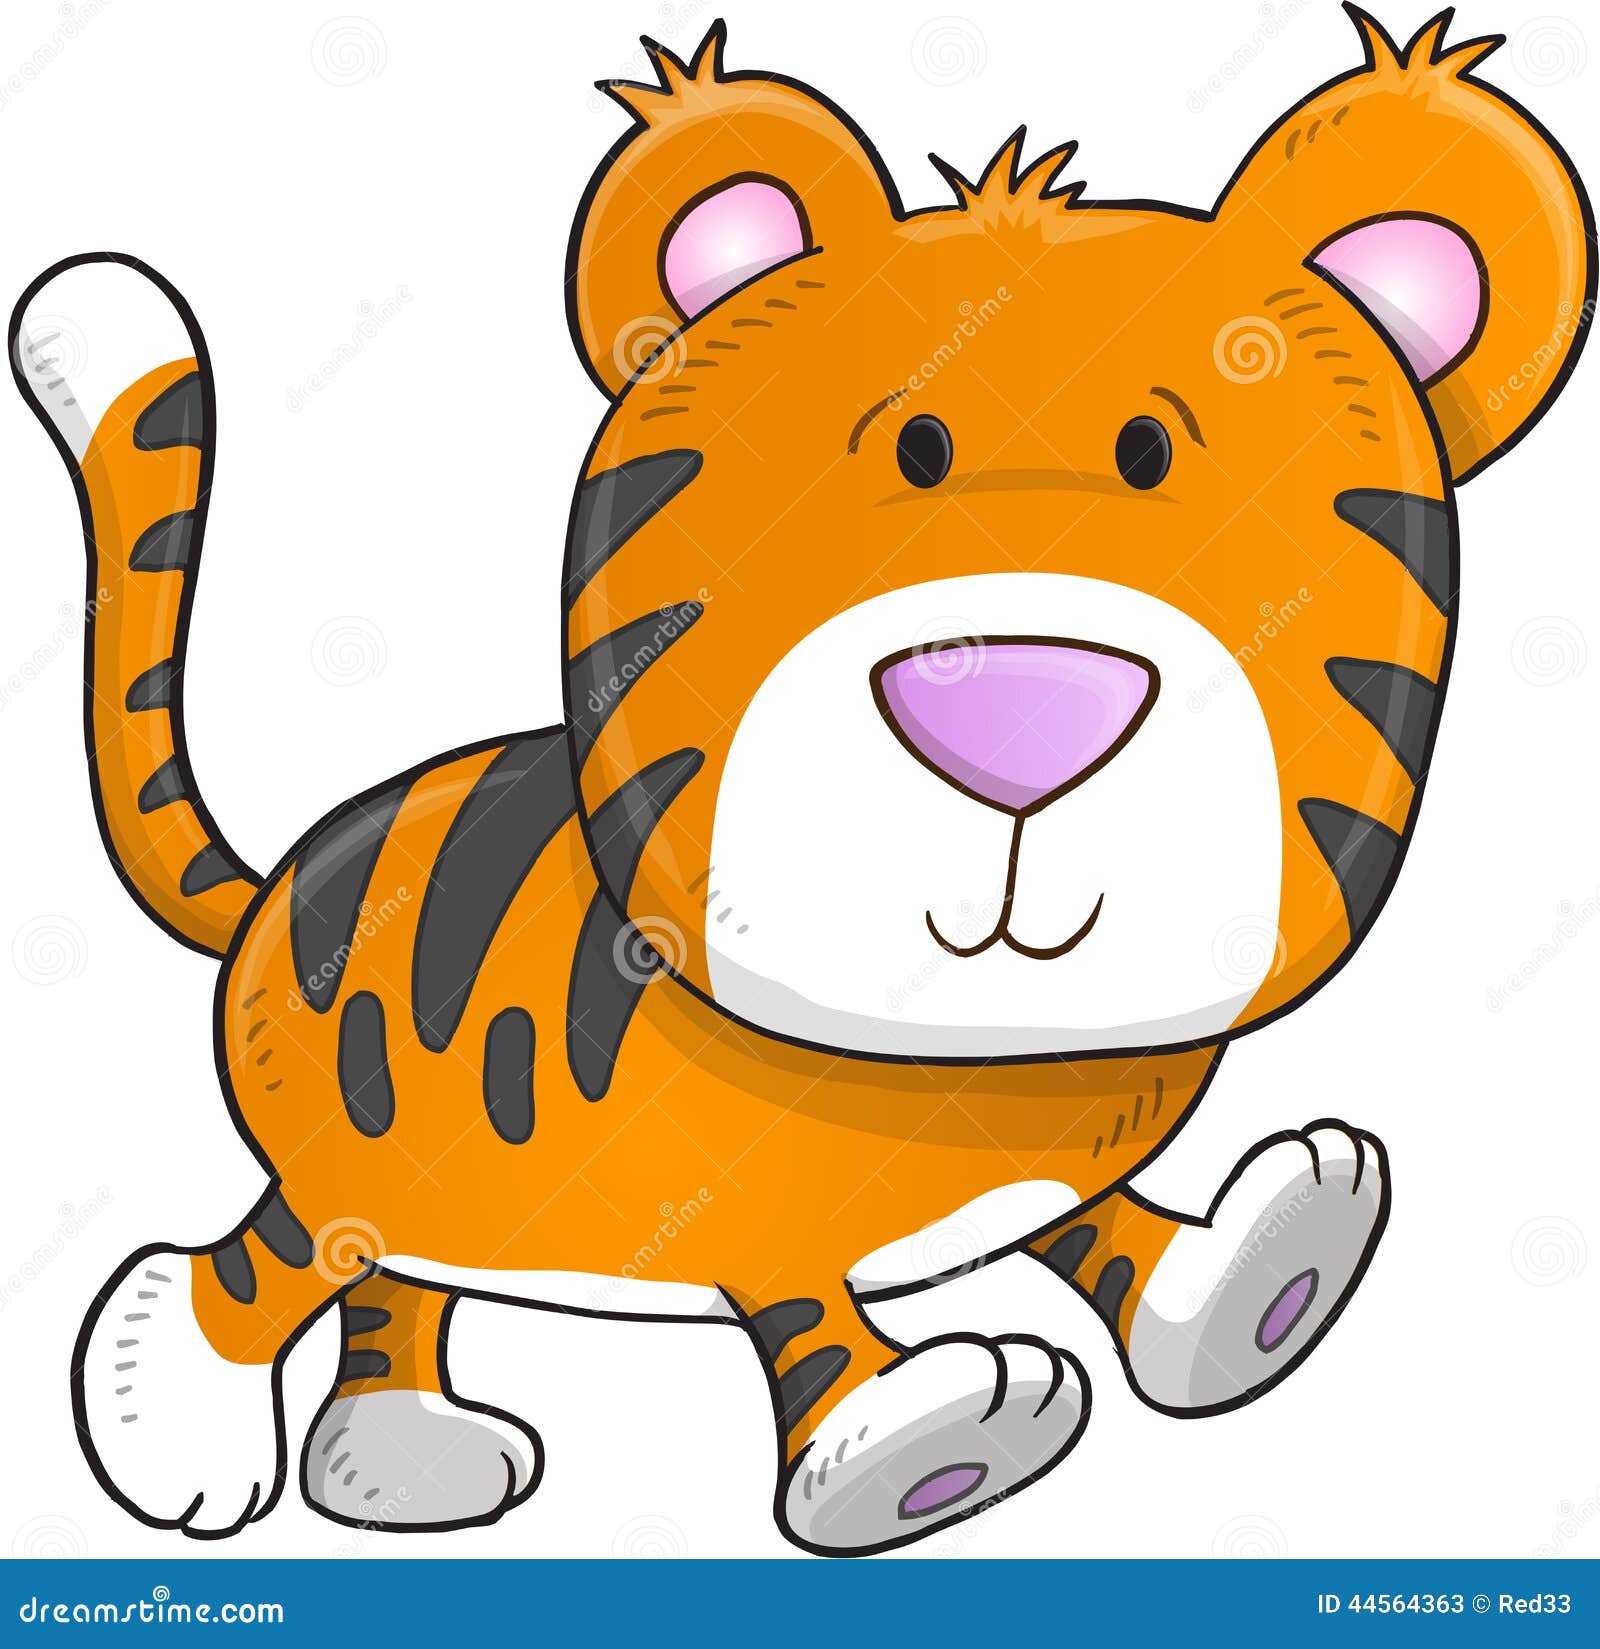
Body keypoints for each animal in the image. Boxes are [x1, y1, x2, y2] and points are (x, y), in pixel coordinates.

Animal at [9, 8, 1591, 1556]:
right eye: (914, 444)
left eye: (1150, 451)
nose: (1016, 722)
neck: (974, 1066)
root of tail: (286, 873)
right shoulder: (763, 1224)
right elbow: (822, 1337)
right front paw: (933, 1449)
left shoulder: (1032, 1166)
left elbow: (1097, 1224)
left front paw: (1266, 1277)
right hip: (355, 1147)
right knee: (266, 1263)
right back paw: (173, 1433)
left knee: (397, 1284)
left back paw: (402, 1459)